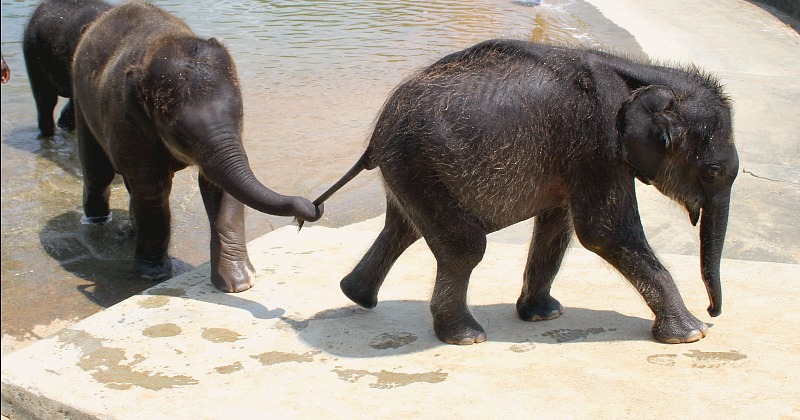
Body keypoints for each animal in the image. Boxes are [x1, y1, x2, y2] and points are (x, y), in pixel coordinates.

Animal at [71, 2, 323, 292]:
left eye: (240, 116)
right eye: (181, 136)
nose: (311, 206)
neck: (161, 43)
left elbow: (221, 187)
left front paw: (240, 283)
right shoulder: (125, 120)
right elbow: (151, 189)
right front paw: (152, 275)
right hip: (82, 104)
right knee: (99, 172)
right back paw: (97, 222)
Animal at [309, 39, 739, 345]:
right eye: (712, 171)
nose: (713, 312)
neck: (645, 76)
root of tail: (378, 129)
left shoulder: (576, 154)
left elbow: (557, 226)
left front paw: (542, 315)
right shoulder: (596, 139)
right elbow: (603, 232)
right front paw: (691, 334)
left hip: (409, 169)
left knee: (402, 229)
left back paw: (356, 296)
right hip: (416, 163)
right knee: (464, 246)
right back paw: (466, 337)